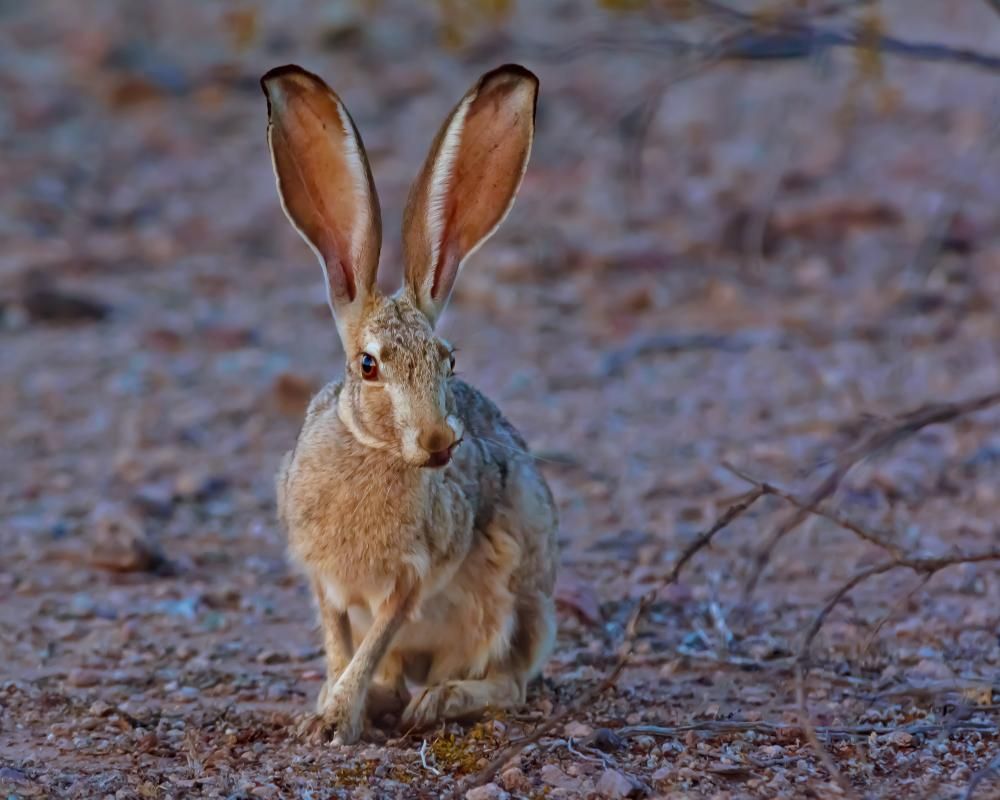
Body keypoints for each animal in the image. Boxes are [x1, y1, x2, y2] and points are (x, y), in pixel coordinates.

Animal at [261, 63, 558, 745]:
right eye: (368, 366)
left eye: (450, 360)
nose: (440, 443)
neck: (374, 450)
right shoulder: (324, 579)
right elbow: (343, 646)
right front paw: (327, 711)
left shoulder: (411, 576)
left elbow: (373, 640)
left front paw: (336, 719)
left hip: (510, 599)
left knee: (510, 682)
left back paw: (439, 700)